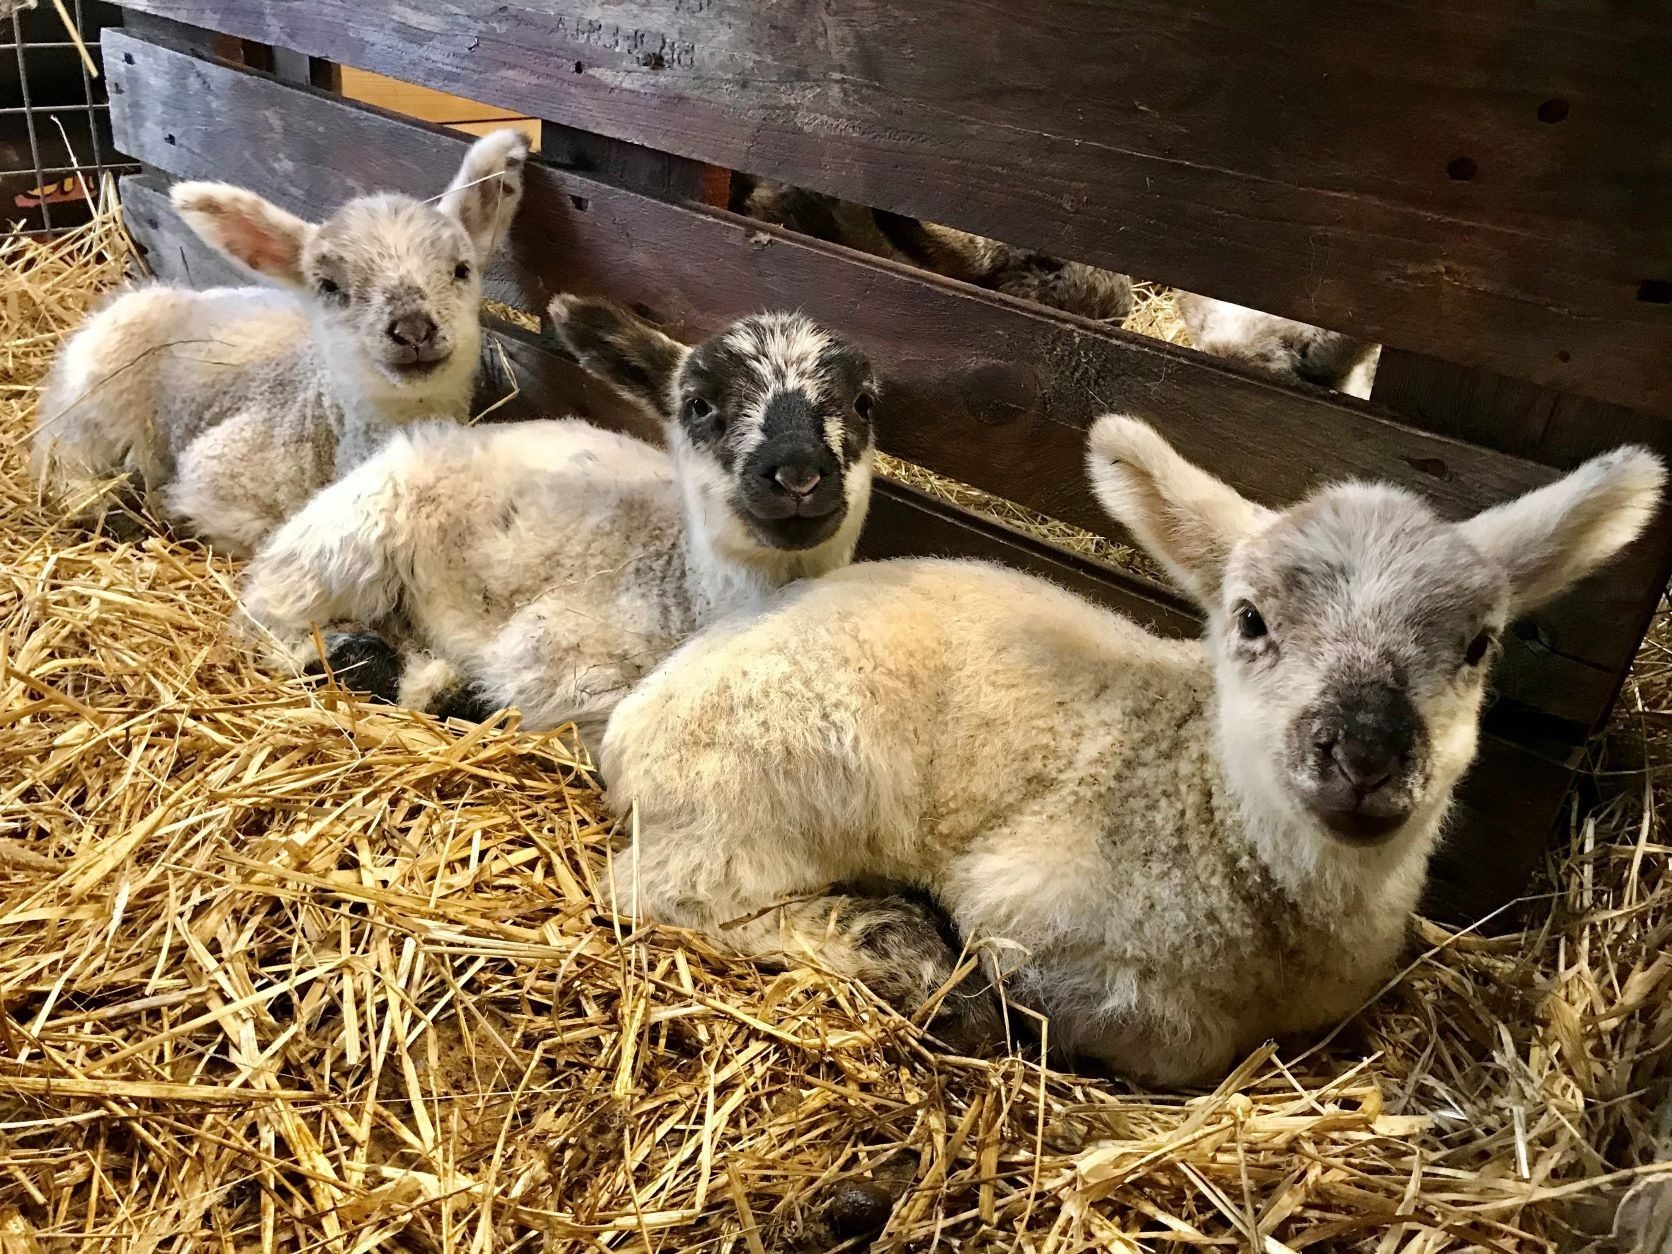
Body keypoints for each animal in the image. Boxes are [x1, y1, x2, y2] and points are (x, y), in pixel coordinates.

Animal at [31, 128, 530, 557]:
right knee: (63, 466)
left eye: (461, 270)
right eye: (328, 286)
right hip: (89, 409)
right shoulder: (218, 471)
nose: (412, 330)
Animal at [236, 296, 880, 751]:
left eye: (863, 403)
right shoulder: (554, 660)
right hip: (347, 539)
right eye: (698, 404)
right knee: (265, 620)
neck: (685, 591)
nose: (797, 474)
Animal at [598, 417, 1664, 1081]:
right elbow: (1176, 1040)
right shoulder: (1033, 915)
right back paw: (881, 942)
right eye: (1250, 619)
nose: (1365, 752)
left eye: (1479, 644)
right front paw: (963, 991)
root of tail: (628, 726)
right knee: (669, 897)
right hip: (773, 787)